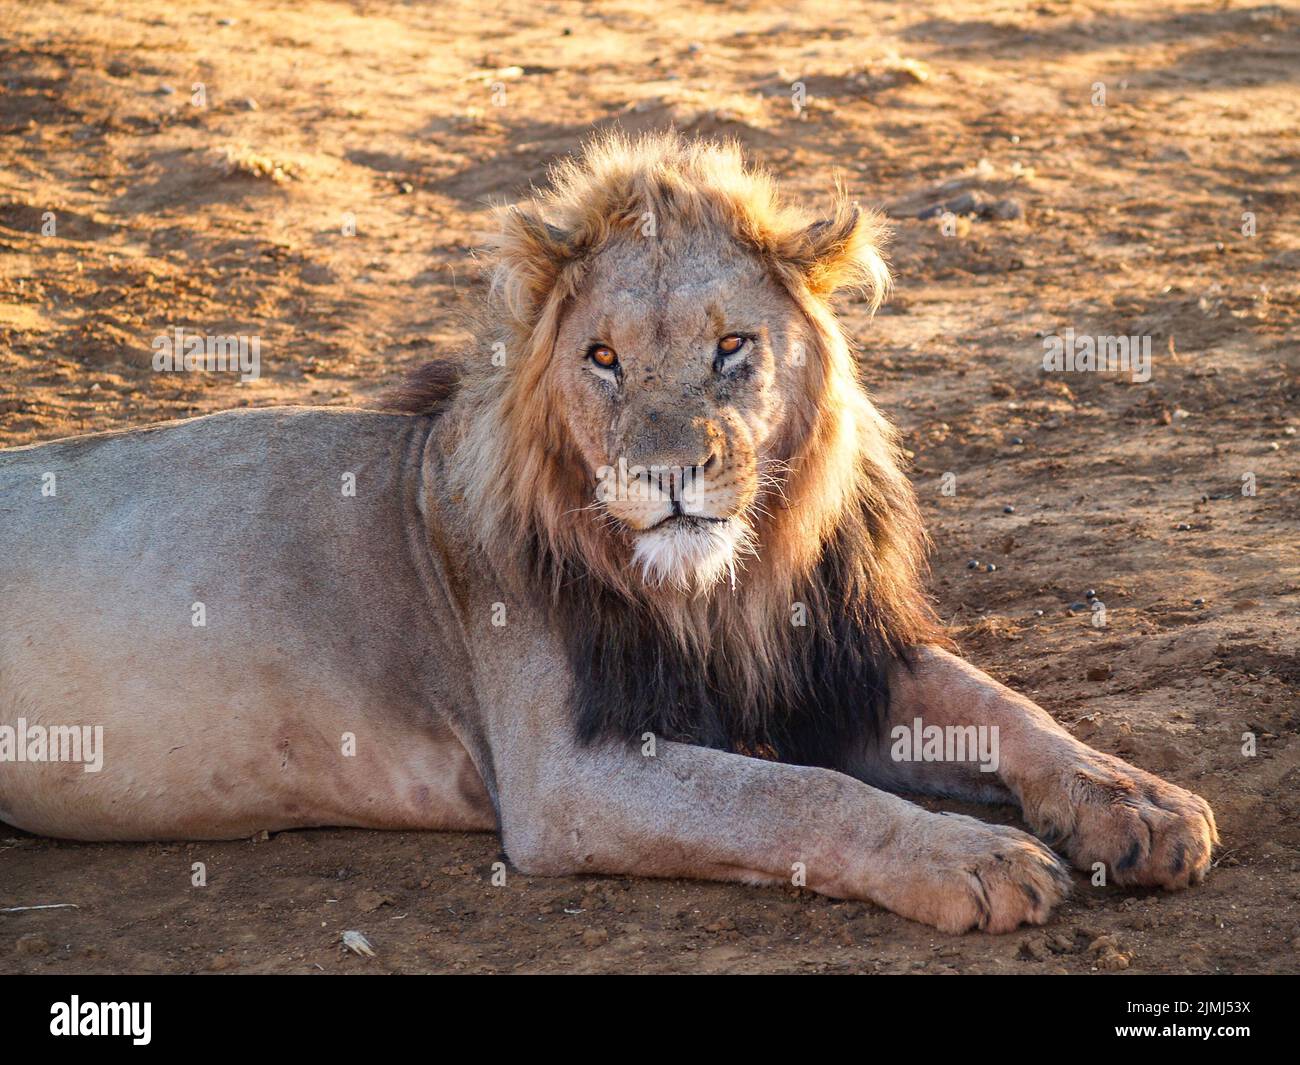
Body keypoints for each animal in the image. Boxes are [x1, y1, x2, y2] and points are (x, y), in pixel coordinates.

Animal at [0, 133, 1216, 933]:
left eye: (731, 346)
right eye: (602, 358)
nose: (664, 475)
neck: (716, 591)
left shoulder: (821, 656)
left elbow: (998, 706)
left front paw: (1138, 803)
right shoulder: (564, 771)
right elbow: (800, 795)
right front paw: (975, 856)